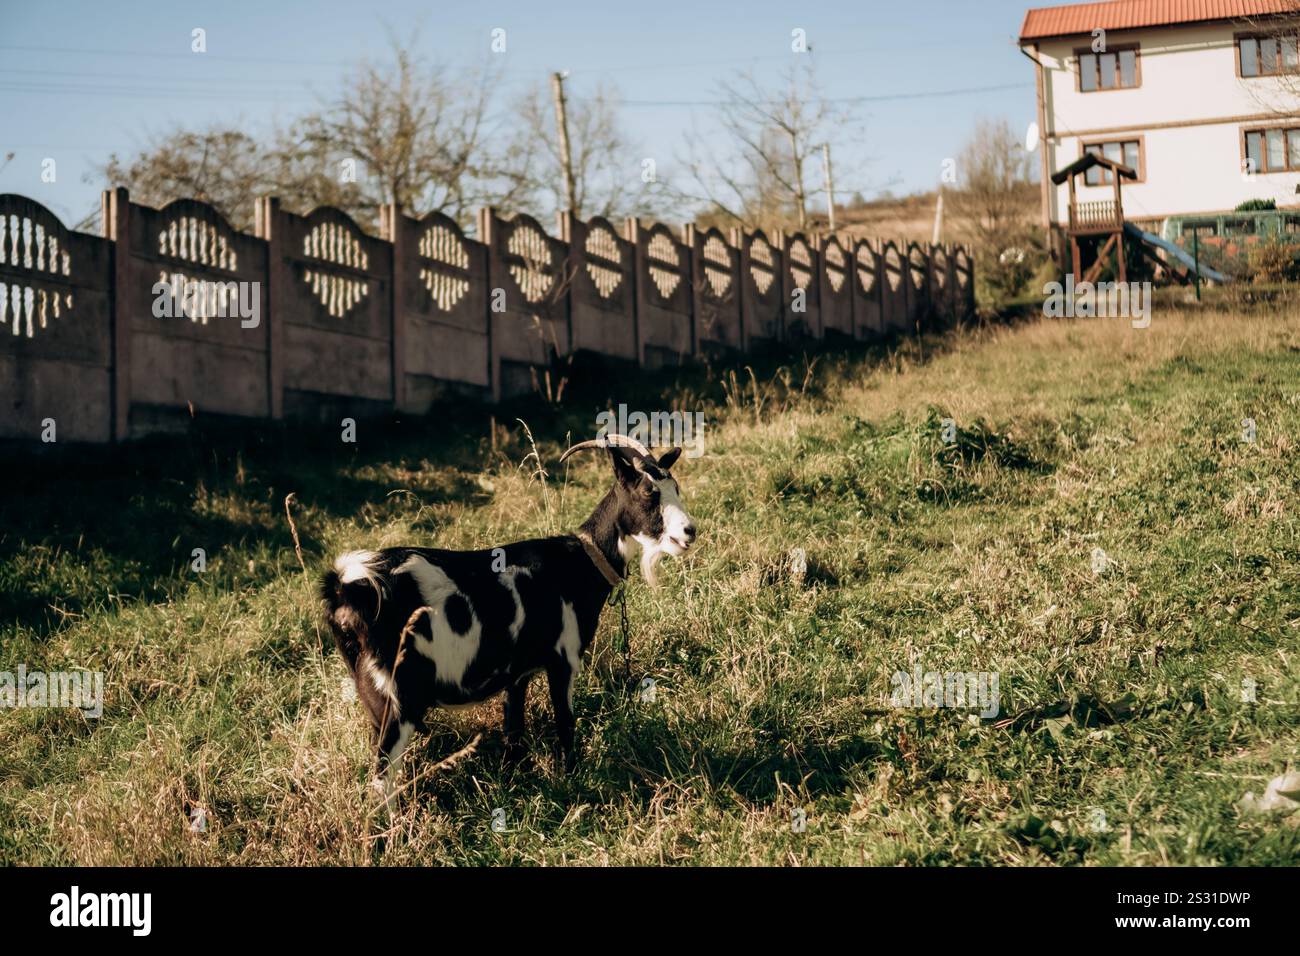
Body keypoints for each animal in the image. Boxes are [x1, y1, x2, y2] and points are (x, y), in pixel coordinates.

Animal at [320, 434, 697, 808]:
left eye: (676, 487)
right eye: (648, 492)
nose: (689, 532)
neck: (579, 563)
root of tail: (346, 587)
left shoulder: (518, 674)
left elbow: (514, 729)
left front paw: (517, 783)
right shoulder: (563, 659)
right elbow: (565, 722)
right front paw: (573, 782)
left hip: (374, 695)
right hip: (399, 697)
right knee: (382, 777)